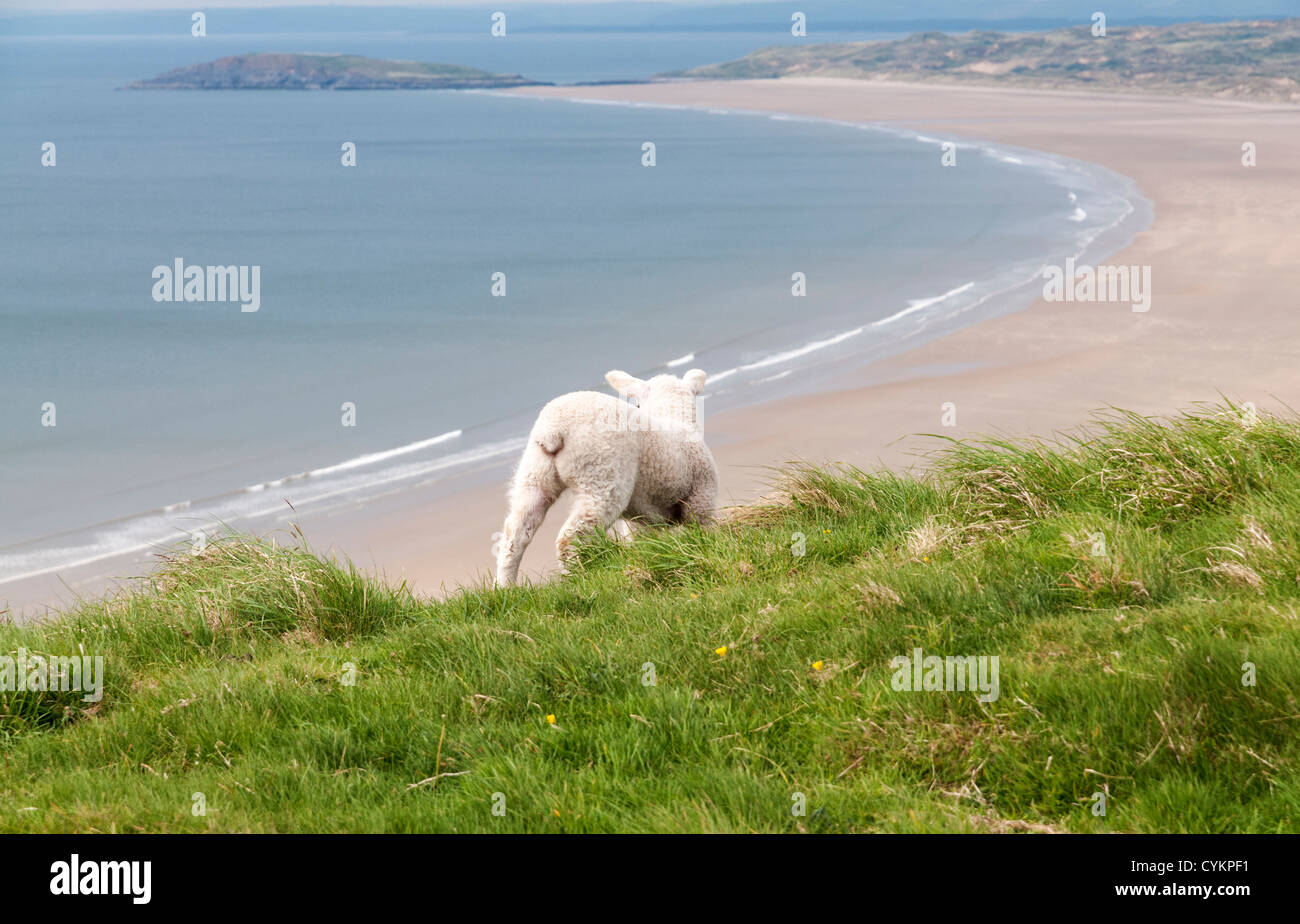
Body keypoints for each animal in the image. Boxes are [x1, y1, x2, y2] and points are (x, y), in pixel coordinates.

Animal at [494, 368, 718, 586]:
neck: (672, 418)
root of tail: (553, 430)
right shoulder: (701, 497)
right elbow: (704, 529)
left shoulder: (639, 520)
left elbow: (640, 542)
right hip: (601, 475)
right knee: (569, 538)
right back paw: (576, 579)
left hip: (534, 474)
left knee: (515, 535)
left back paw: (506, 587)